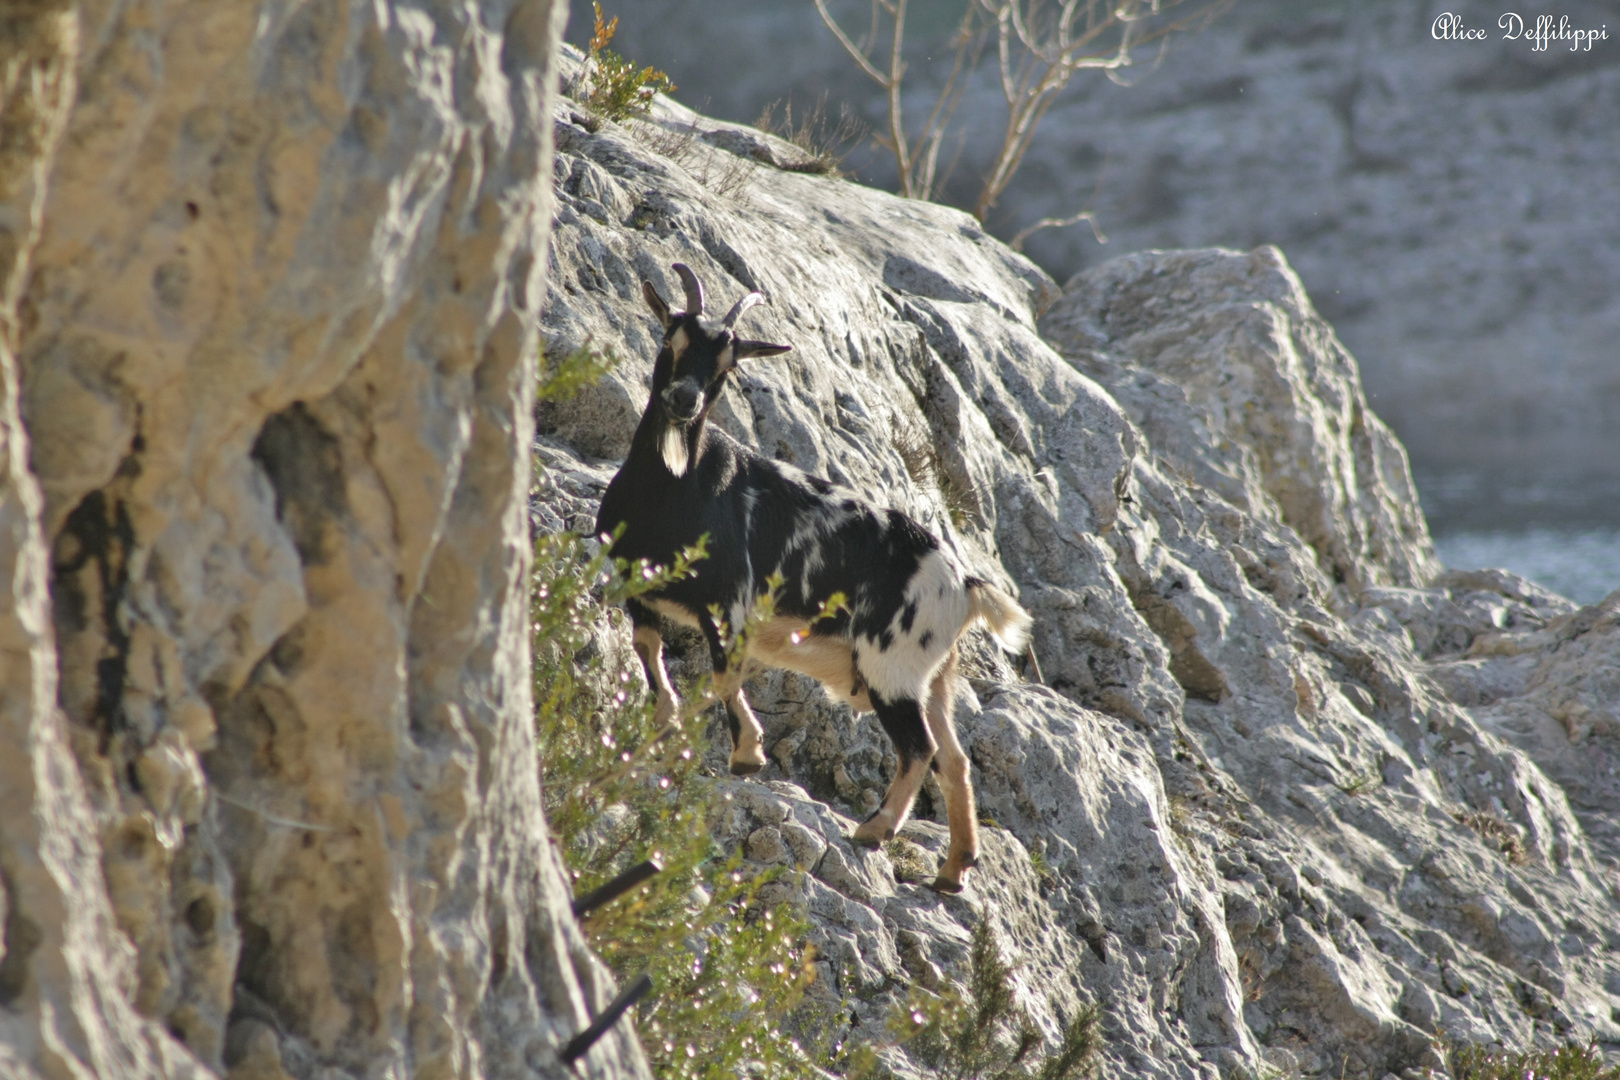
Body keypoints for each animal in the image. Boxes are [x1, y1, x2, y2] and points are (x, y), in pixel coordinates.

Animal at [592, 263, 1023, 893]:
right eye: (671, 337)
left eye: (729, 366)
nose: (684, 399)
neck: (672, 488)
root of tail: (963, 584)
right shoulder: (640, 594)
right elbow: (648, 651)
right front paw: (667, 727)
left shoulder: (729, 605)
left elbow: (724, 676)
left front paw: (748, 753)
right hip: (934, 675)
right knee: (954, 758)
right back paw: (953, 869)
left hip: (890, 665)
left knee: (918, 749)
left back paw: (876, 830)